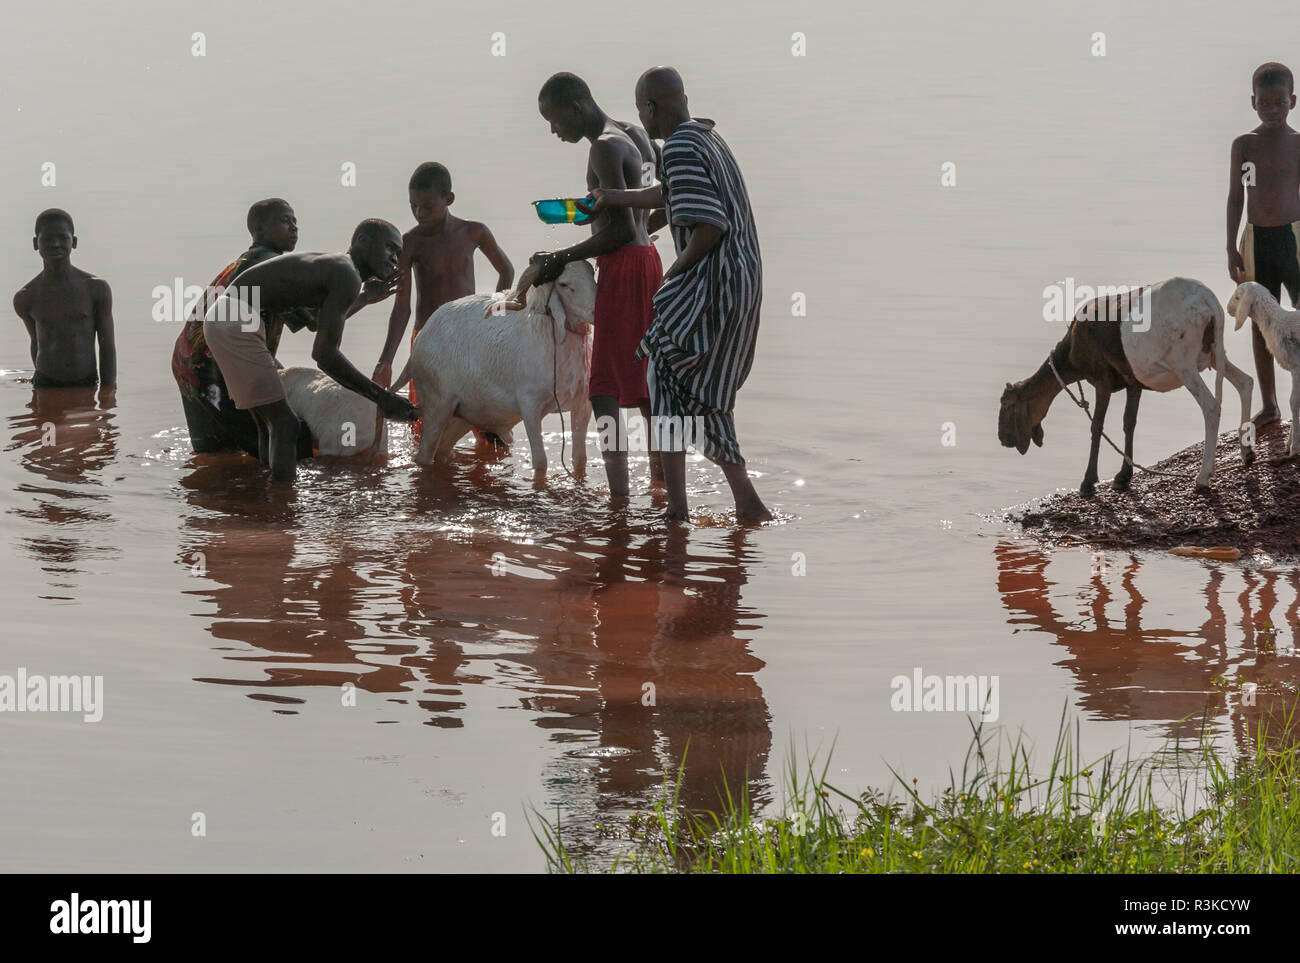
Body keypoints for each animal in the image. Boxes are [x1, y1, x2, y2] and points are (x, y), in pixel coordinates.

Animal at [392, 259, 596, 479]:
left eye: (592, 274)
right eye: (564, 284)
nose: (596, 311)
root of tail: (420, 338)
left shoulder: (582, 405)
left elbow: (580, 459)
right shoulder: (530, 406)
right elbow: (541, 462)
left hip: (464, 413)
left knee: (442, 451)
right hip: (436, 407)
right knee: (424, 456)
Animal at [998, 277, 1254, 494]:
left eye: (1008, 405)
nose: (1003, 439)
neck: (1071, 355)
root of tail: (1209, 303)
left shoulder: (1101, 378)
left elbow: (1096, 426)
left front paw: (1088, 482)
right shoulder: (1133, 380)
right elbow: (1129, 422)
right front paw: (1123, 476)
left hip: (1184, 363)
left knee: (1211, 407)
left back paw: (1203, 476)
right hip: (1214, 353)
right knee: (1245, 382)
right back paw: (1247, 452)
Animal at [1228, 281, 1300, 455]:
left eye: (1237, 297)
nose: (1228, 309)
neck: (1277, 321)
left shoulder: (1297, 367)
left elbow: (1294, 402)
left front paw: (1294, 447)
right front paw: (1289, 445)